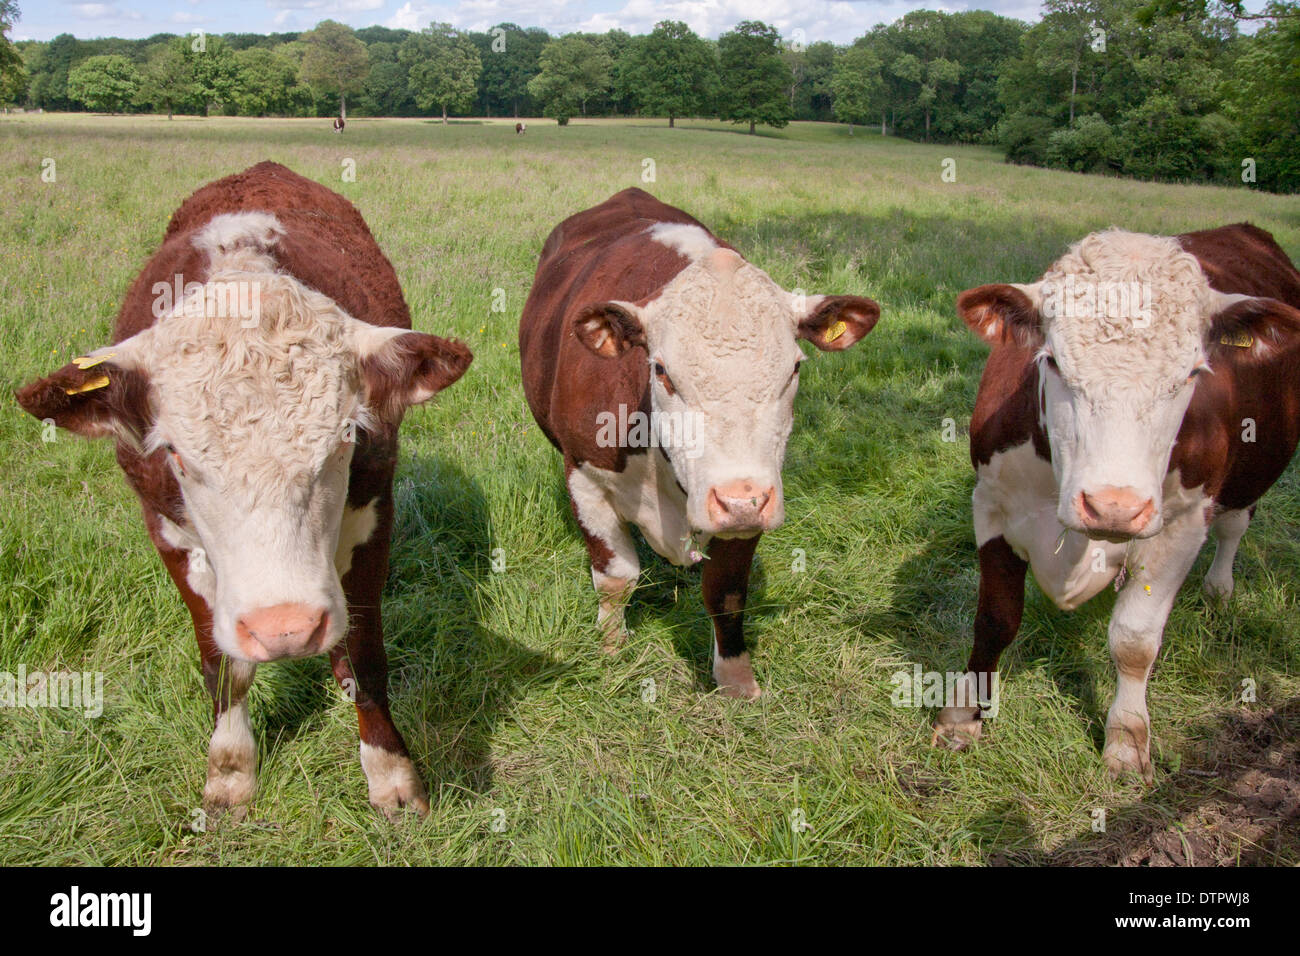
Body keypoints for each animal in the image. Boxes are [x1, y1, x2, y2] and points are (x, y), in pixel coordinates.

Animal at [15, 161, 472, 817]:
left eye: (344, 437)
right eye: (176, 455)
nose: (286, 628)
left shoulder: (372, 514)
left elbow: (364, 655)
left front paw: (391, 776)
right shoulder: (168, 531)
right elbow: (223, 665)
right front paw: (231, 770)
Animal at [519, 188, 881, 698]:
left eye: (794, 367)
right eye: (661, 370)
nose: (739, 500)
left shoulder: (749, 499)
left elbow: (726, 593)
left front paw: (736, 681)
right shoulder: (585, 478)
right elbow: (615, 579)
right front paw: (611, 649)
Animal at [932, 223, 1300, 781]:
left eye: (1193, 373)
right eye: (1053, 361)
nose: (1113, 507)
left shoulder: (1182, 525)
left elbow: (1134, 639)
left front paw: (1126, 741)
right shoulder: (992, 504)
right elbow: (995, 619)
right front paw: (963, 715)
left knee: (1235, 526)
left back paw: (1218, 589)